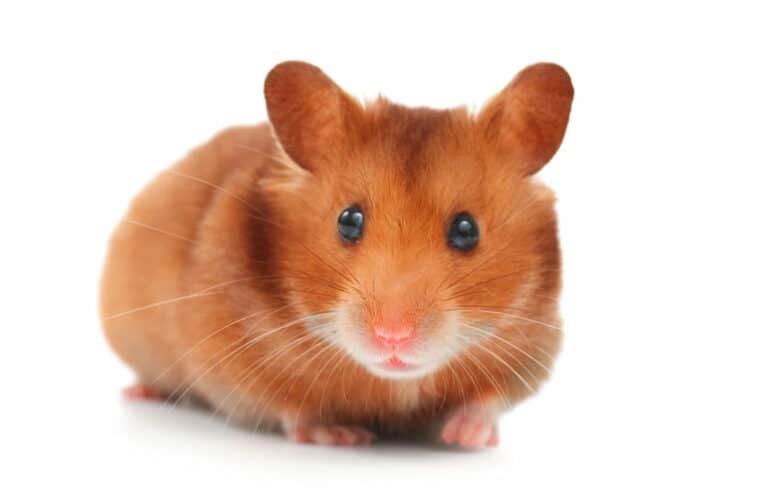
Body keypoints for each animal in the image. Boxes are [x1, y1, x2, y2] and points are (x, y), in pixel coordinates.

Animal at [100, 61, 573, 449]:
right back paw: (140, 391)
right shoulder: (236, 363)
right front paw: (343, 435)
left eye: (466, 230)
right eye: (348, 221)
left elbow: (489, 398)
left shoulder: (535, 347)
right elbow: (293, 407)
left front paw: (468, 438)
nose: (393, 337)